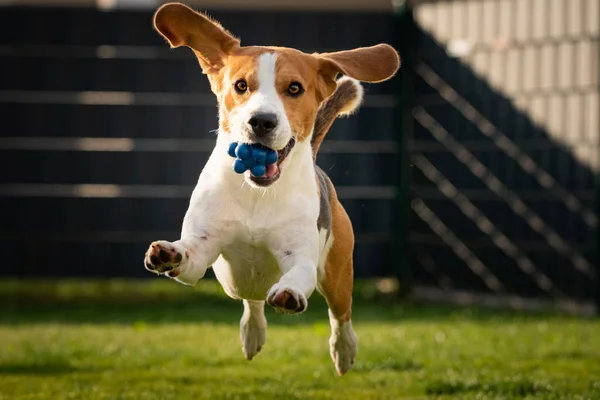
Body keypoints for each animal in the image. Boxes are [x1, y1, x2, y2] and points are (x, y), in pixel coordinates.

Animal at [143, 3, 400, 376]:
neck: (257, 194)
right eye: (240, 85)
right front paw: (168, 254)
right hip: (238, 281)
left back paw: (343, 350)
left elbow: (299, 277)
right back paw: (252, 332)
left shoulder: (302, 256)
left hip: (337, 273)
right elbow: (189, 257)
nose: (261, 121)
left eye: (294, 88)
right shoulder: (202, 250)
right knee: (252, 300)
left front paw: (289, 294)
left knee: (341, 316)